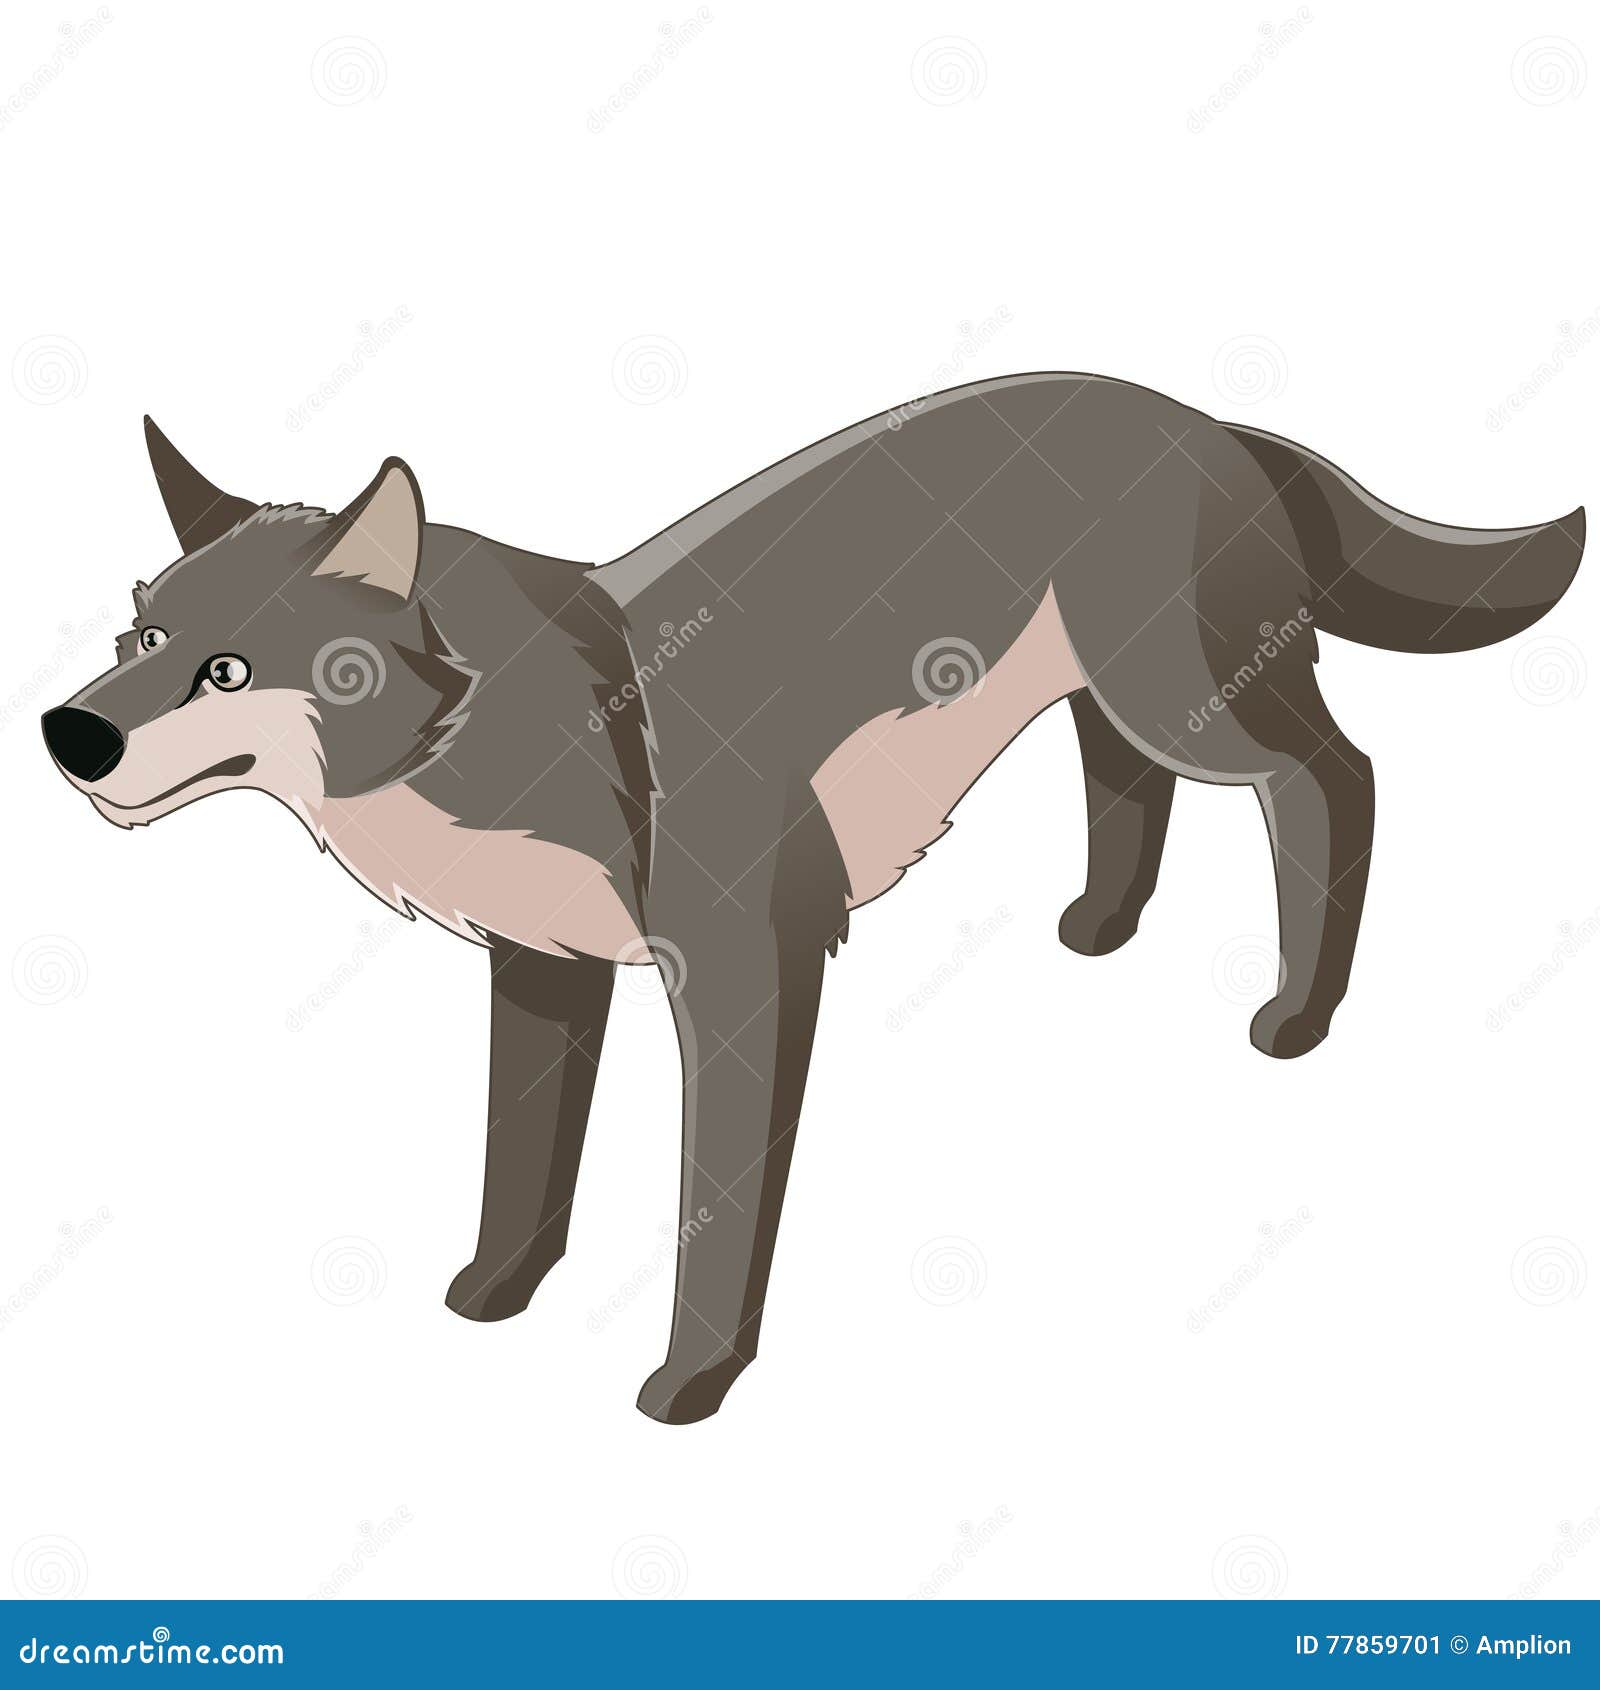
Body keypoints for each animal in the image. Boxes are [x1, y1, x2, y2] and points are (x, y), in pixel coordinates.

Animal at [43, 375, 1582, 1420]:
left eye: (228, 669)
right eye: (138, 635)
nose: (68, 732)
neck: (550, 727)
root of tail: (1203, 414)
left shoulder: (748, 968)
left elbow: (714, 1219)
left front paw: (690, 1381)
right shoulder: (544, 970)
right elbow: (522, 1173)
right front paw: (496, 1295)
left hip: (1192, 701)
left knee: (1337, 775)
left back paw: (1301, 1011)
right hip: (1117, 694)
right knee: (1128, 778)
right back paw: (1102, 926)